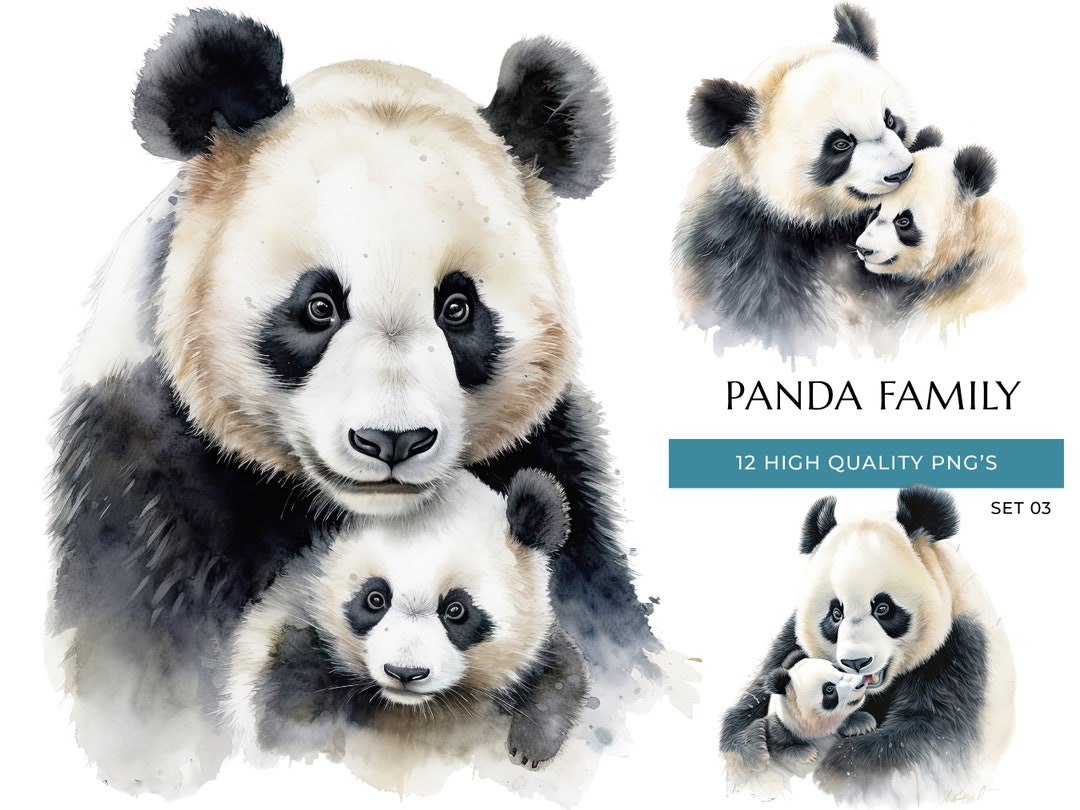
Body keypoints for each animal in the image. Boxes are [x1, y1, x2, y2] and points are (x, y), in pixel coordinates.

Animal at [225, 469, 588, 787]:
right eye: (375, 599)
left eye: (456, 610)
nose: (405, 673)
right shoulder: (297, 624)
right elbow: (287, 711)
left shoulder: (534, 645)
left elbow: (565, 671)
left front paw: (530, 748)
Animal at [720, 485, 1015, 805]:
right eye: (836, 613)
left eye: (883, 608)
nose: (856, 662)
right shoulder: (789, 643)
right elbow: (763, 686)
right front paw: (751, 749)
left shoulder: (959, 651)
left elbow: (934, 732)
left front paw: (837, 769)